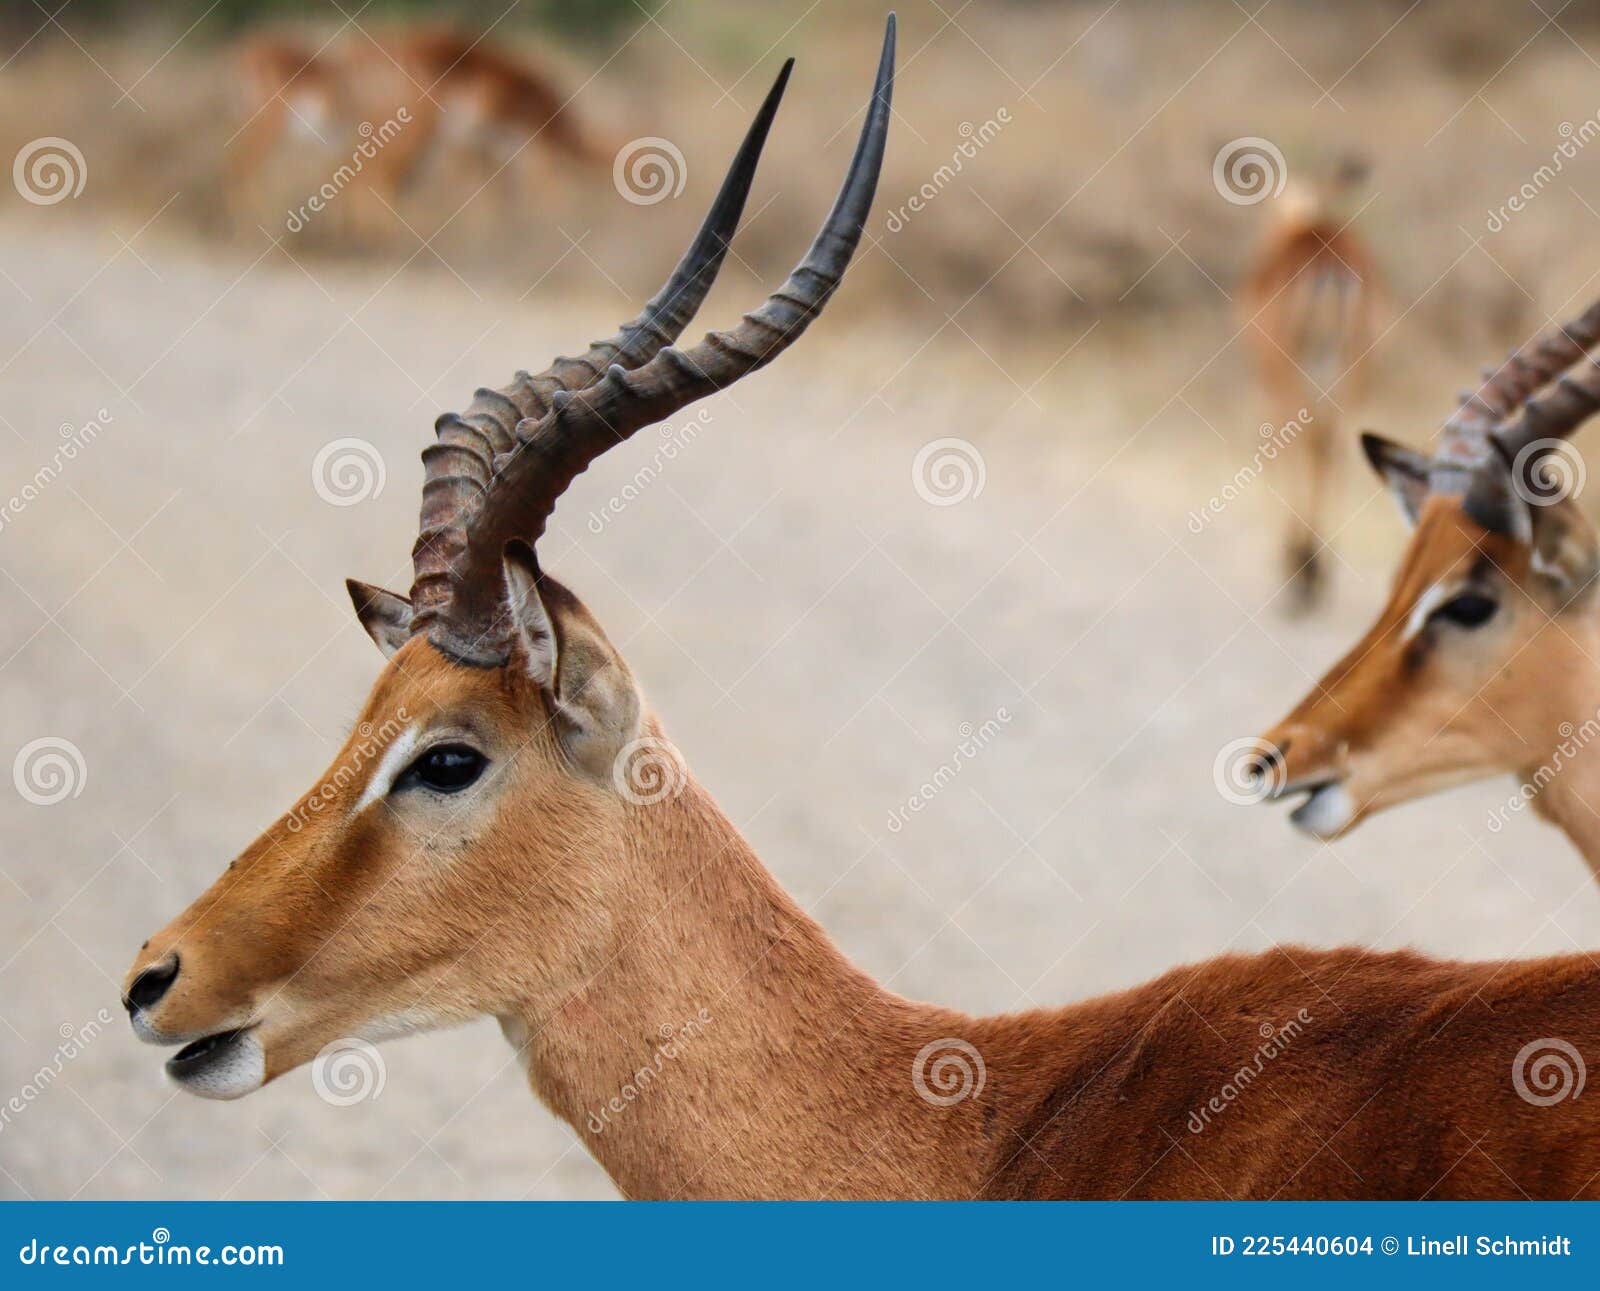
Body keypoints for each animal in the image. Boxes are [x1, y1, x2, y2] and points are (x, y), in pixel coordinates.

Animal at [1242, 154, 1381, 612]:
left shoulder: (1266, 383)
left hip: (1292, 372)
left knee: (1304, 442)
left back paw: (1301, 572)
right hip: (1352, 369)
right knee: (1337, 444)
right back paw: (1321, 572)